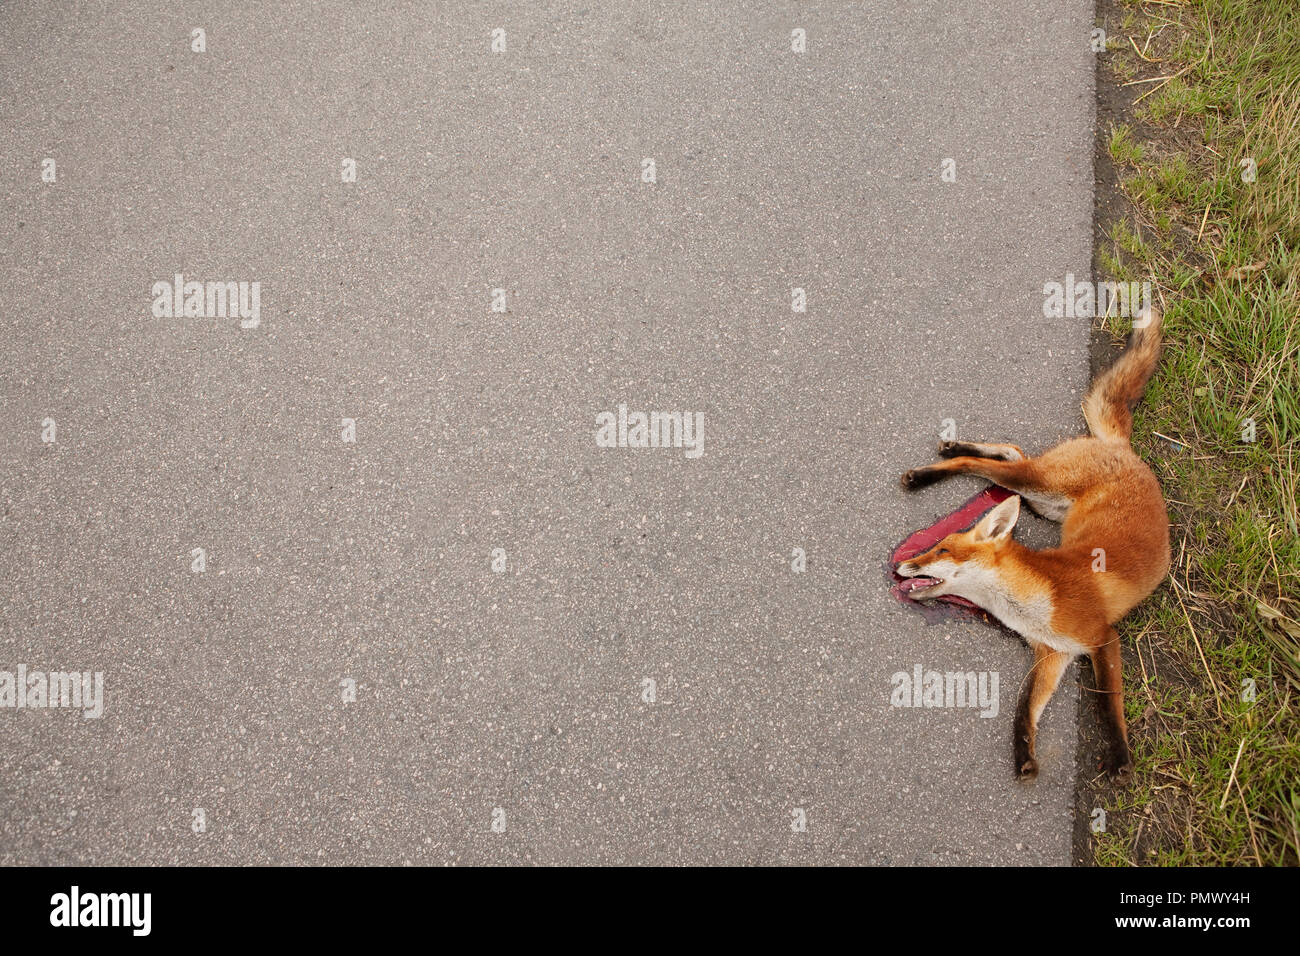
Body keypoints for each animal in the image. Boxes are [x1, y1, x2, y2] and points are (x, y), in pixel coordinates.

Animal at [895, 307, 1170, 779]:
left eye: (942, 549)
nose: (902, 565)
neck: (1031, 603)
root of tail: (1122, 448)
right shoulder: (1052, 653)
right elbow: (1025, 706)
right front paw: (1025, 753)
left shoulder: (1092, 640)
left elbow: (1104, 703)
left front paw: (1117, 754)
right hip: (1042, 498)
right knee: (1009, 452)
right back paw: (948, 452)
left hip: (1038, 490)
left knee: (998, 460)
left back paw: (936, 465)